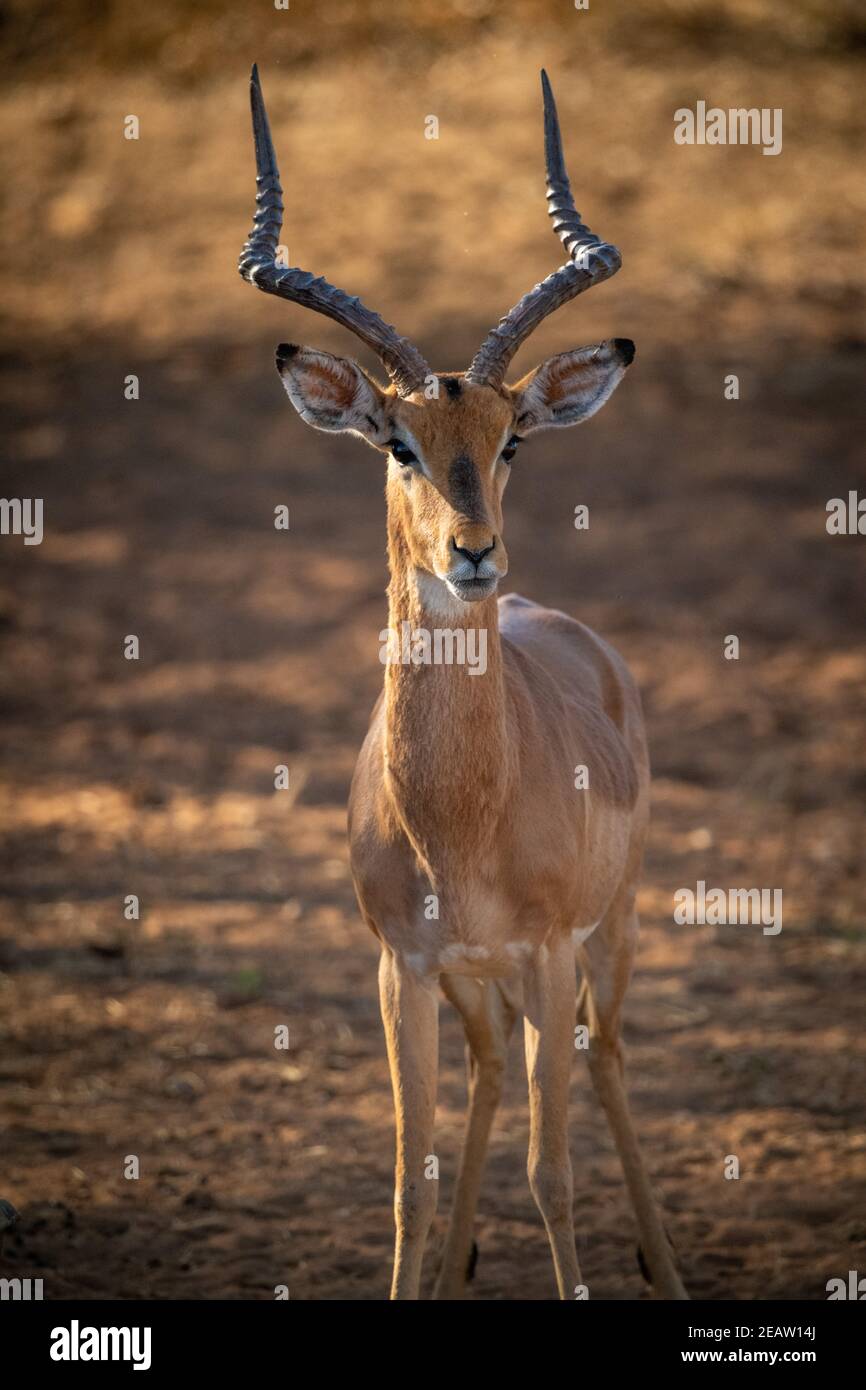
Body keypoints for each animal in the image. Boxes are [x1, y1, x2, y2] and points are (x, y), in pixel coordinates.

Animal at [239, 65, 688, 1302]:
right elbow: (407, 1182)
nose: (474, 554)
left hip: (609, 931)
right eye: (395, 441)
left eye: (510, 440)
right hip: (472, 986)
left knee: (608, 1059)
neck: (459, 816)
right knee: (490, 1075)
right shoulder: (402, 967)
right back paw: (457, 1271)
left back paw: (664, 1267)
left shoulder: (544, 952)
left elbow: (551, 1173)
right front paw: (427, 1260)